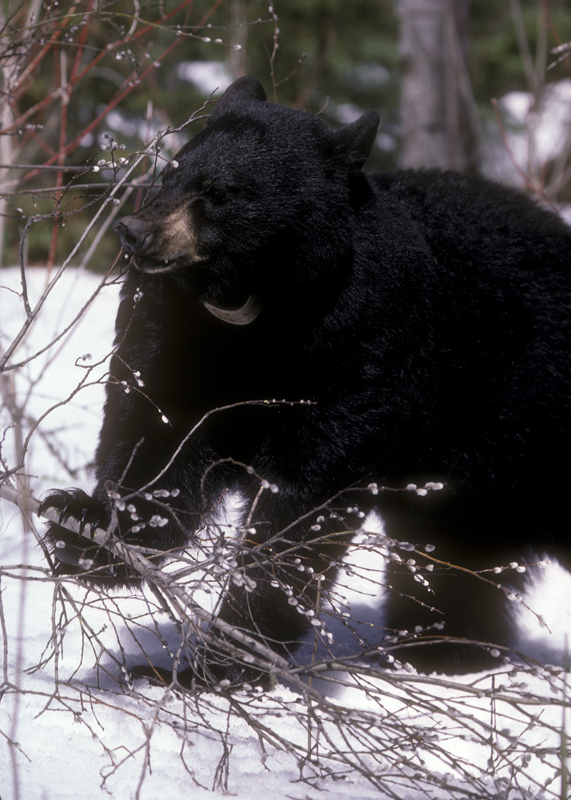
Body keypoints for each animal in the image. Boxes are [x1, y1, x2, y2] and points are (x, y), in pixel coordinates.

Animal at [41, 76, 571, 688]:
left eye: (218, 191)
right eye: (171, 169)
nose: (133, 231)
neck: (251, 308)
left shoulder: (362, 339)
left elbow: (304, 497)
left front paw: (221, 662)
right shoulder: (171, 323)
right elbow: (156, 432)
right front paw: (83, 528)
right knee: (452, 558)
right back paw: (443, 653)